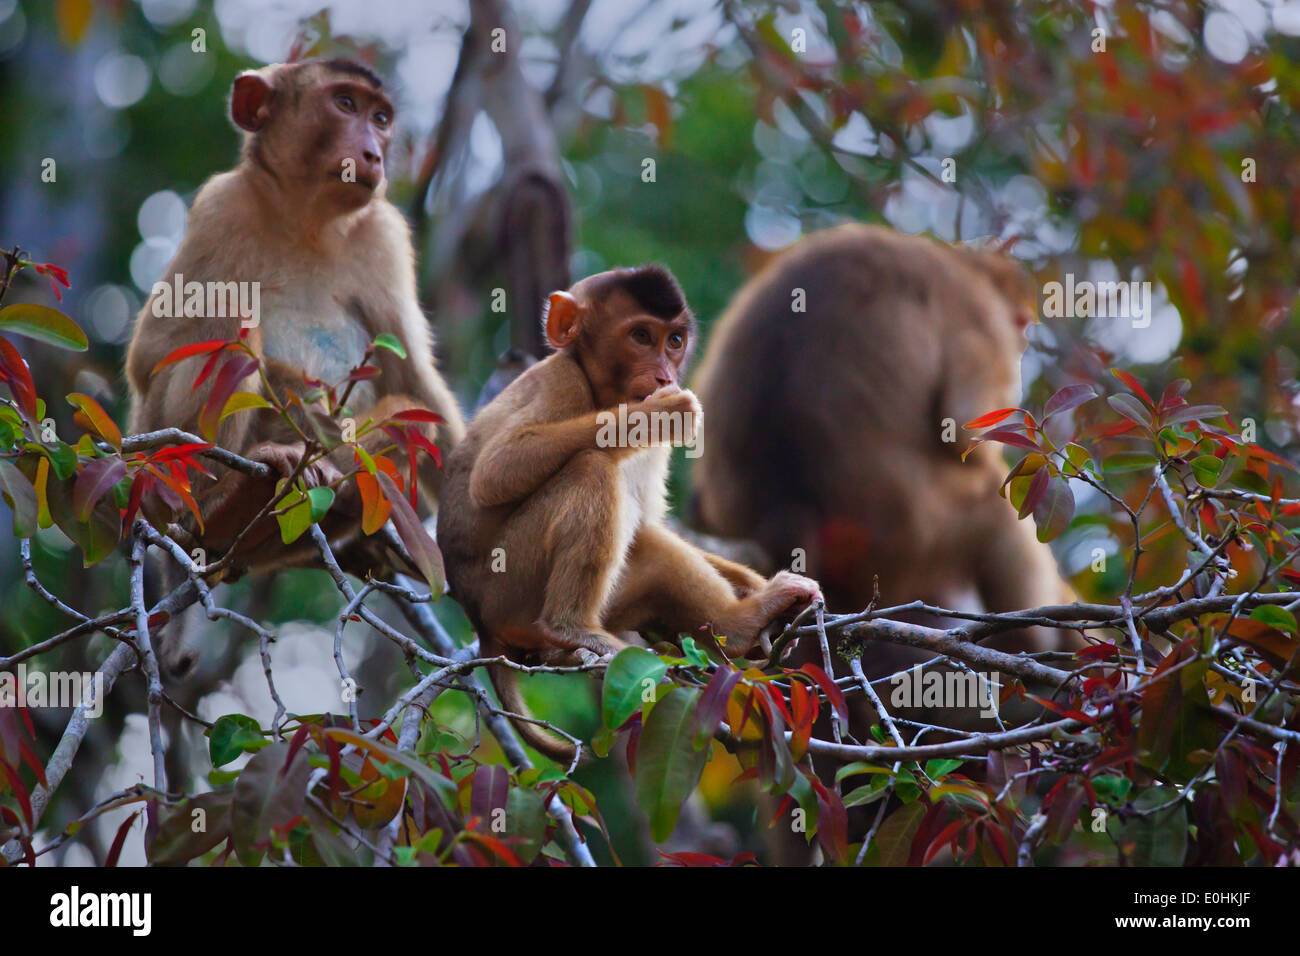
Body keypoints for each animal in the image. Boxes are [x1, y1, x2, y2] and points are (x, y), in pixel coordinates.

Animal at [125, 59, 466, 673]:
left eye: (381, 118)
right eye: (346, 105)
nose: (372, 152)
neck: (306, 221)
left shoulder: (384, 236)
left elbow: (415, 382)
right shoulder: (221, 208)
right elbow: (154, 355)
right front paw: (291, 395)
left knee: (407, 418)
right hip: (165, 487)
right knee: (226, 339)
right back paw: (223, 503)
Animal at [437, 265, 822, 762]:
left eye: (674, 340)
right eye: (641, 336)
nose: (663, 375)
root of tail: (480, 621)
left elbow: (649, 526)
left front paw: (758, 583)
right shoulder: (561, 381)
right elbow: (497, 472)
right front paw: (660, 413)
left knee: (648, 546)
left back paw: (740, 625)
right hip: (508, 587)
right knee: (590, 468)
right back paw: (575, 629)